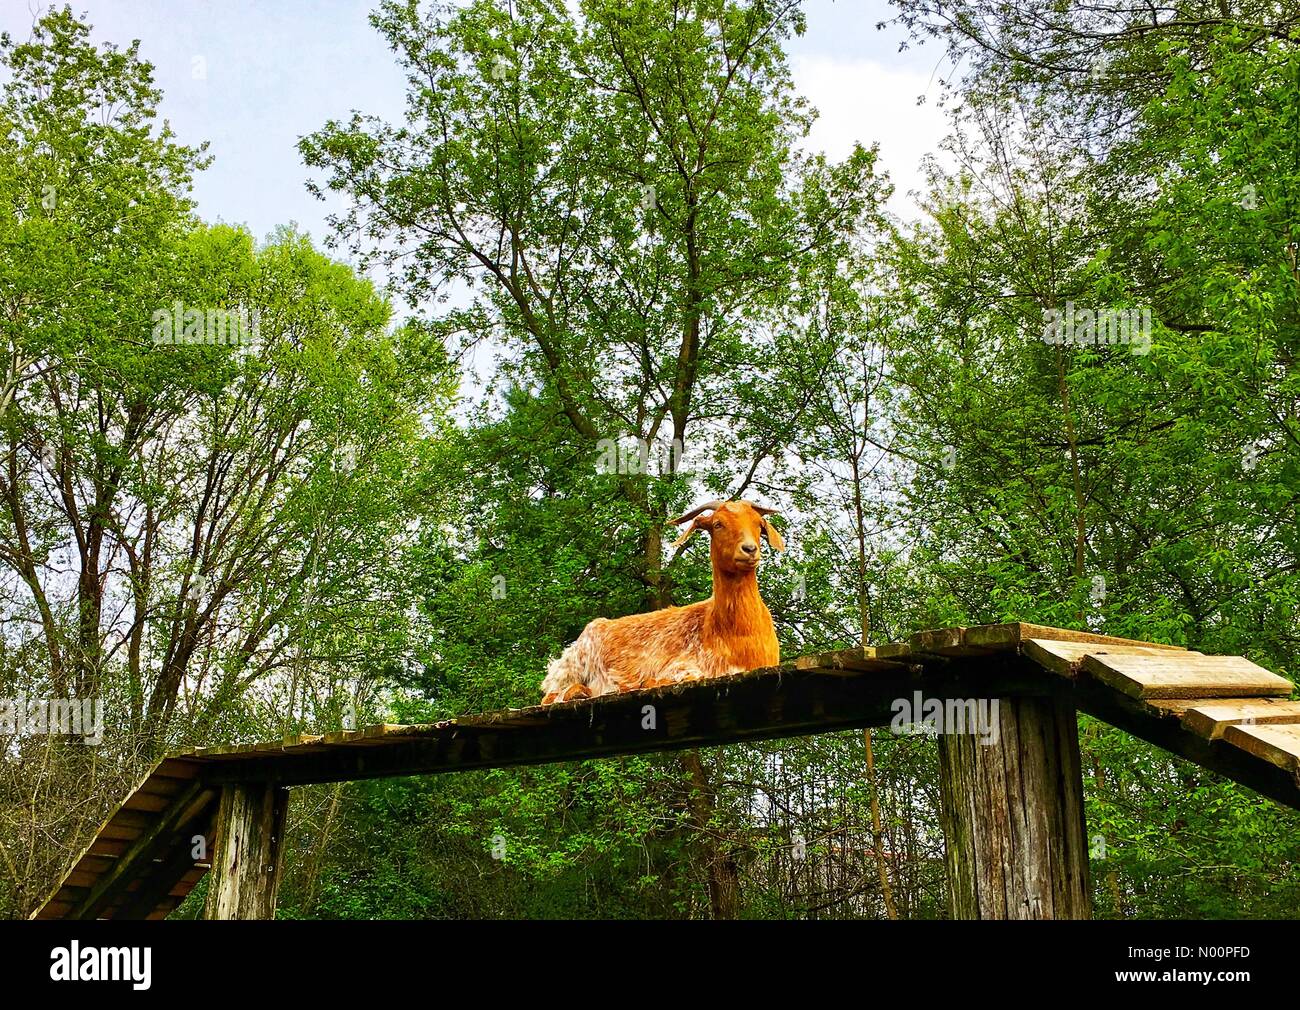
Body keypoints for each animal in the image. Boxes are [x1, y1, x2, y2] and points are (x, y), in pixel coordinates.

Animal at [539, 500, 784, 704]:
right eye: (718, 524)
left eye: (759, 524)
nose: (750, 549)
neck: (737, 637)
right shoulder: (683, 665)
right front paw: (646, 682)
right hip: (572, 665)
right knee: (549, 696)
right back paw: (579, 692)